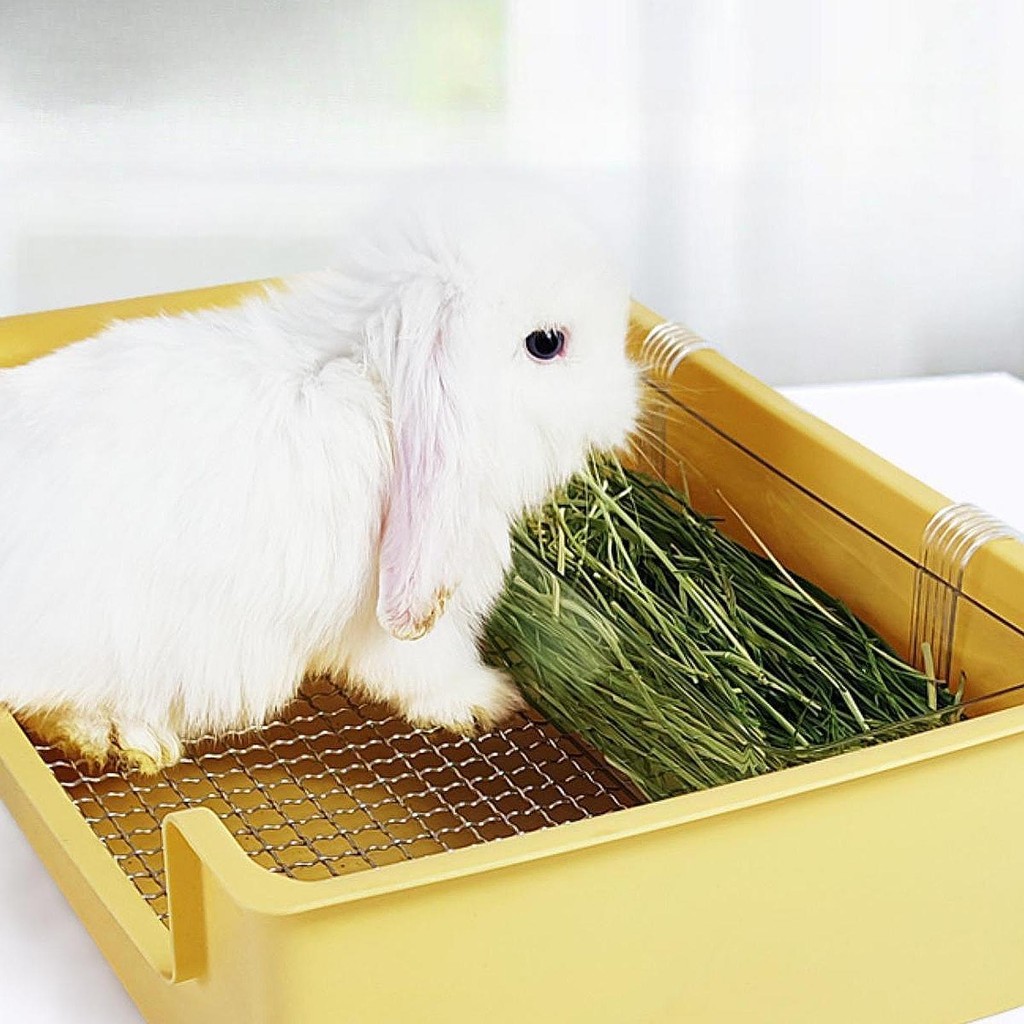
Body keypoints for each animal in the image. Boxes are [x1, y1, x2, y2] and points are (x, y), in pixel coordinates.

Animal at [0, 179, 640, 773]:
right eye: (546, 343)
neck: (367, 373)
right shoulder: (398, 625)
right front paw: (489, 700)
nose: (627, 404)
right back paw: (123, 738)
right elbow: (428, 668)